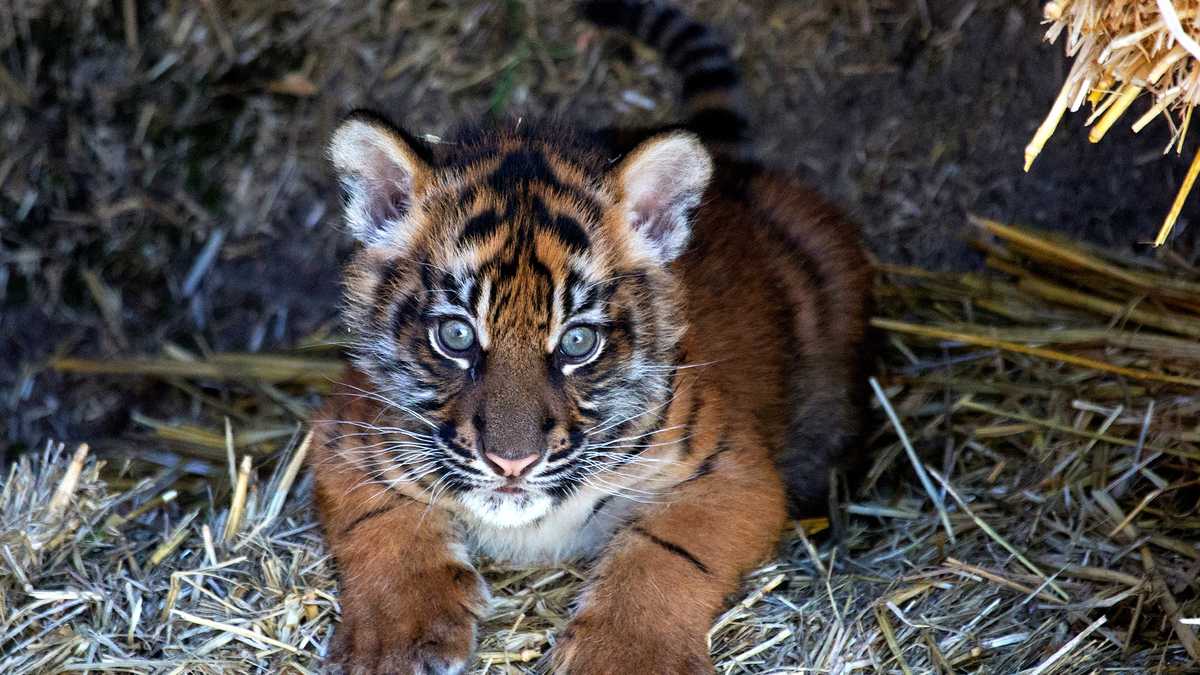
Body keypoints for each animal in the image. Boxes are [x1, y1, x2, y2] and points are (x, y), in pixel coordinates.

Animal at [310, 1, 872, 673]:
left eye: (578, 343)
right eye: (455, 334)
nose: (512, 463)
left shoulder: (732, 471)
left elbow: (665, 552)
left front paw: (625, 656)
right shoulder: (345, 436)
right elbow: (383, 522)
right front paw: (396, 641)